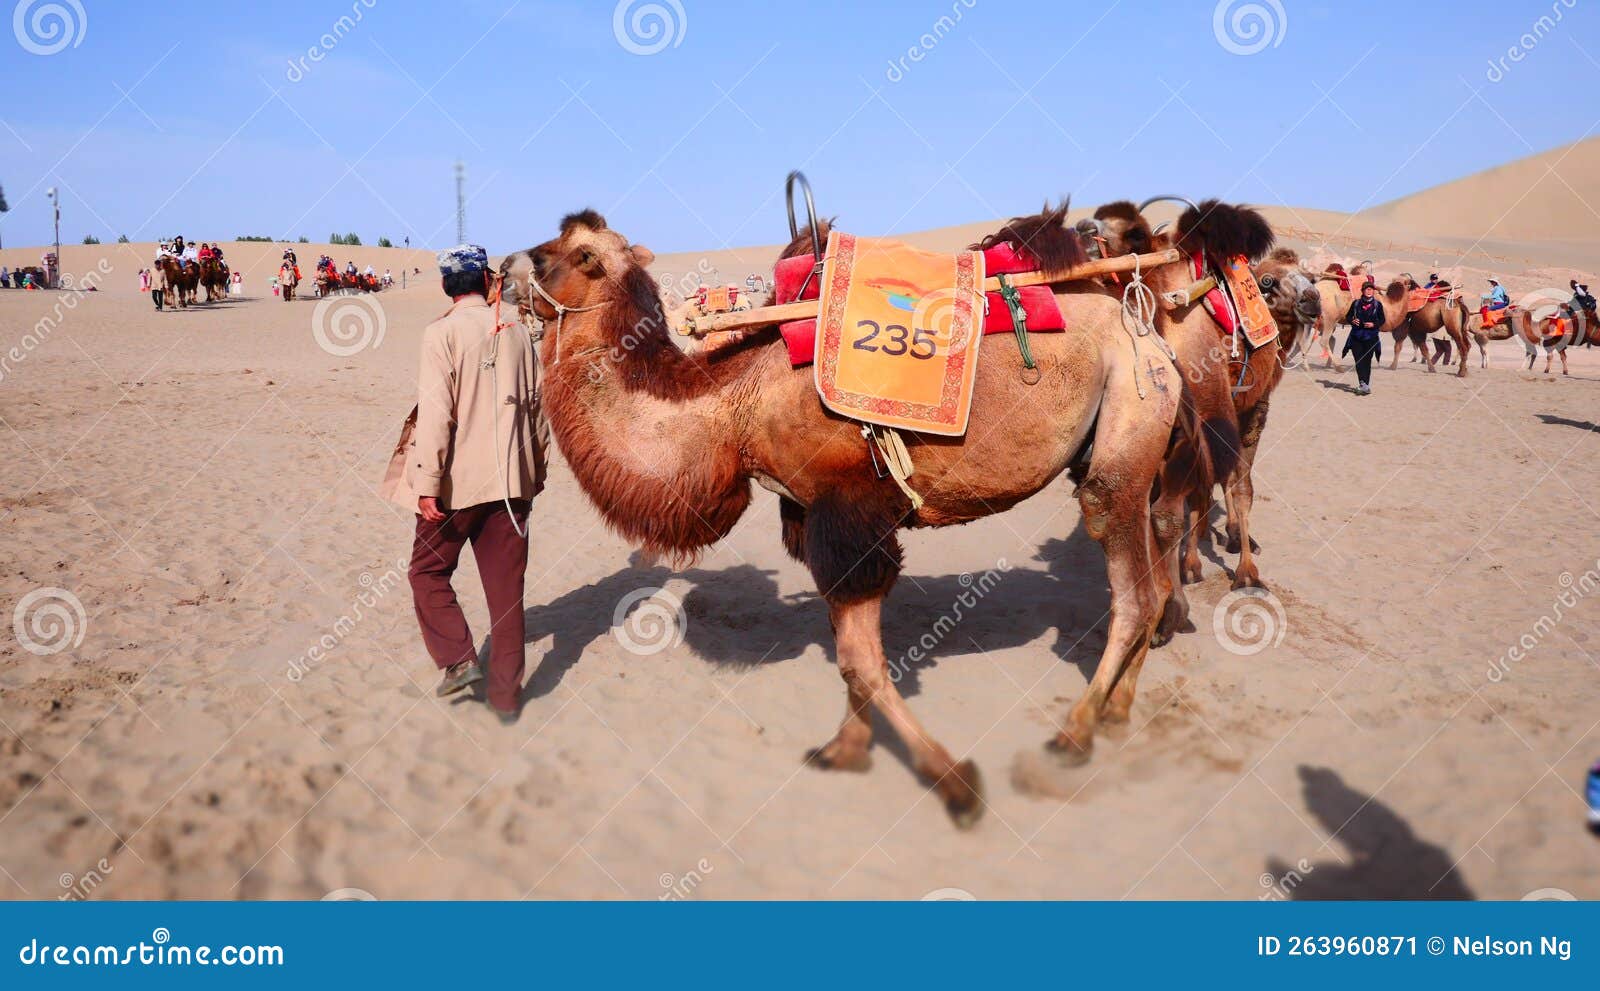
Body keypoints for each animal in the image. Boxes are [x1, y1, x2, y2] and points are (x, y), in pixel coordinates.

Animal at [500, 208, 1203, 825]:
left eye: (579, 256)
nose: (506, 267)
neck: (730, 411)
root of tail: (1145, 326)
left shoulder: (849, 509)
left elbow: (862, 663)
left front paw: (955, 784)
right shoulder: (811, 511)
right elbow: (849, 662)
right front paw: (846, 750)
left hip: (1129, 408)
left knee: (1129, 583)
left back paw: (1074, 734)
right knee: (1150, 580)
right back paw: (1118, 712)